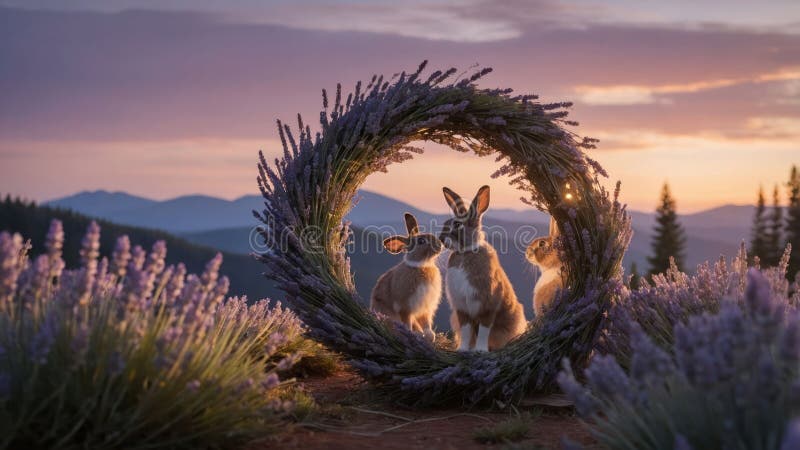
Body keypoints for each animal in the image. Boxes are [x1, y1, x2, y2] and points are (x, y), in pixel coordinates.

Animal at [370, 212, 443, 342]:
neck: (421, 266)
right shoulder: (405, 307)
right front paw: (412, 334)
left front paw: (430, 336)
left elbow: (426, 322)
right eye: (421, 241)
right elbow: (407, 322)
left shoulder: (425, 308)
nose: (440, 245)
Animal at [439, 185, 526, 352]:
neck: (466, 252)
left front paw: (480, 351)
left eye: (457, 225)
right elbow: (466, 330)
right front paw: (463, 350)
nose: (440, 239)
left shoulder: (487, 306)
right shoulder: (462, 309)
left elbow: (484, 331)